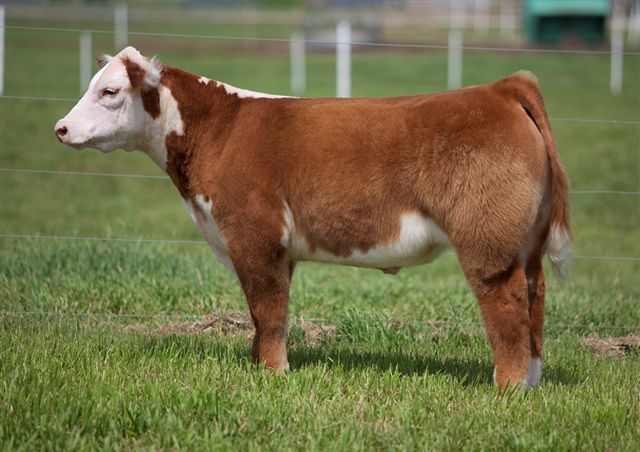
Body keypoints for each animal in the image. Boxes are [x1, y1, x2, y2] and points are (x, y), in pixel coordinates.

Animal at [55, 47, 571, 390]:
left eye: (109, 90)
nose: (61, 128)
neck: (219, 131)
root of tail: (501, 88)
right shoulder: (272, 248)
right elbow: (262, 313)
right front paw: (257, 363)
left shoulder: (254, 235)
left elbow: (269, 308)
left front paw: (273, 372)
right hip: (526, 243)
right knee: (535, 295)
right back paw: (531, 380)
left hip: (487, 240)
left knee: (505, 300)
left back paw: (506, 387)